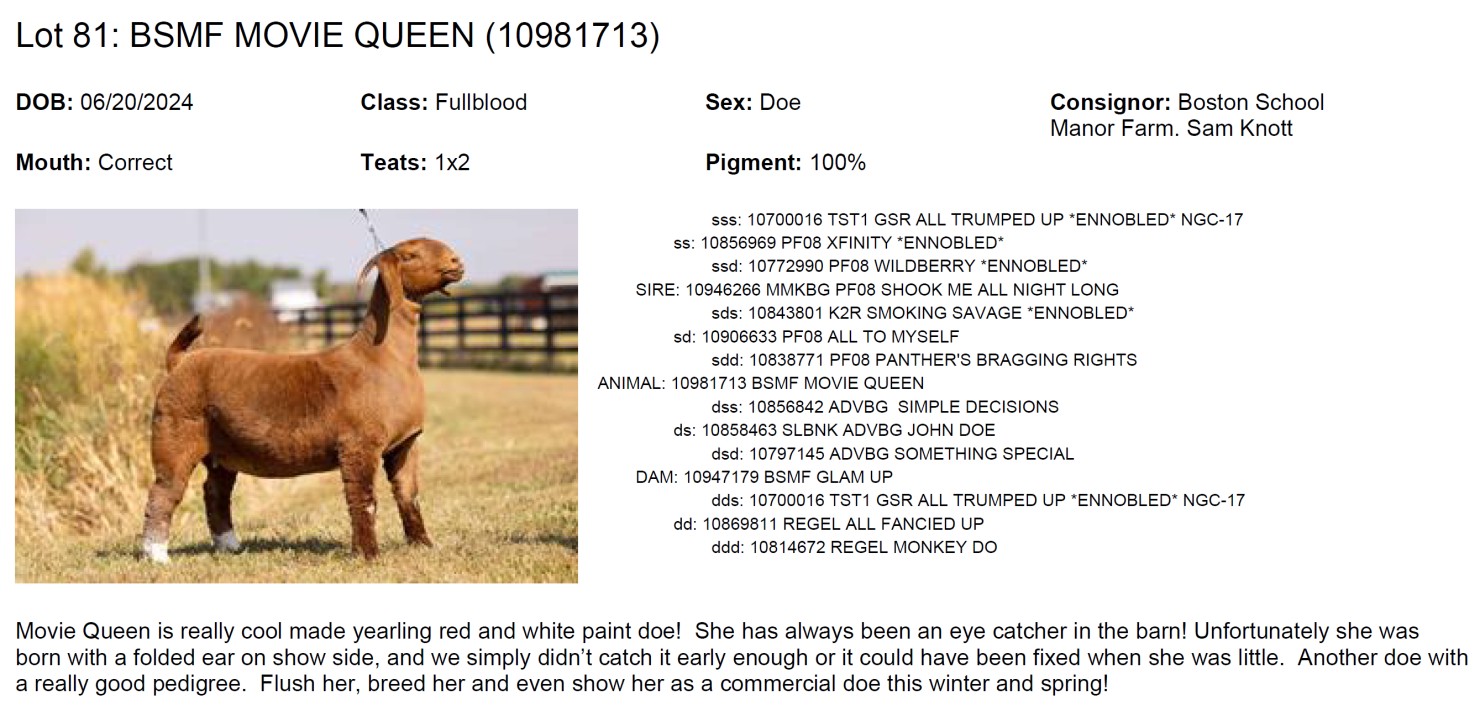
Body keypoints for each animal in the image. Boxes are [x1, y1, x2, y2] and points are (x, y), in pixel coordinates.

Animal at [142, 238, 464, 563]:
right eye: (410, 255)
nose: (456, 261)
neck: (380, 356)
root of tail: (179, 361)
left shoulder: (405, 443)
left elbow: (409, 495)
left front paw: (423, 545)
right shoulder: (359, 444)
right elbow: (364, 499)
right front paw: (369, 555)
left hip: (223, 447)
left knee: (215, 491)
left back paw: (229, 545)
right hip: (176, 431)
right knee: (165, 490)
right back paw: (157, 555)